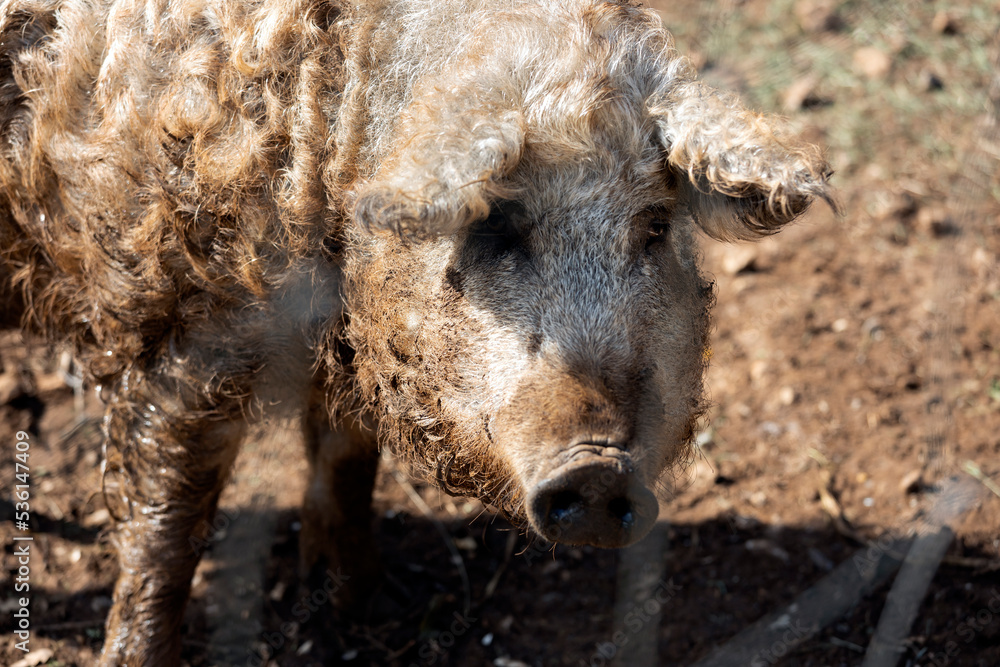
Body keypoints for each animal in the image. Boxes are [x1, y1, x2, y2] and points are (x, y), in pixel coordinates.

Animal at [0, 0, 833, 663]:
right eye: (497, 226)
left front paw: (361, 603)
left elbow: (344, 461)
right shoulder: (175, 331)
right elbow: (165, 532)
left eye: (655, 226)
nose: (599, 468)